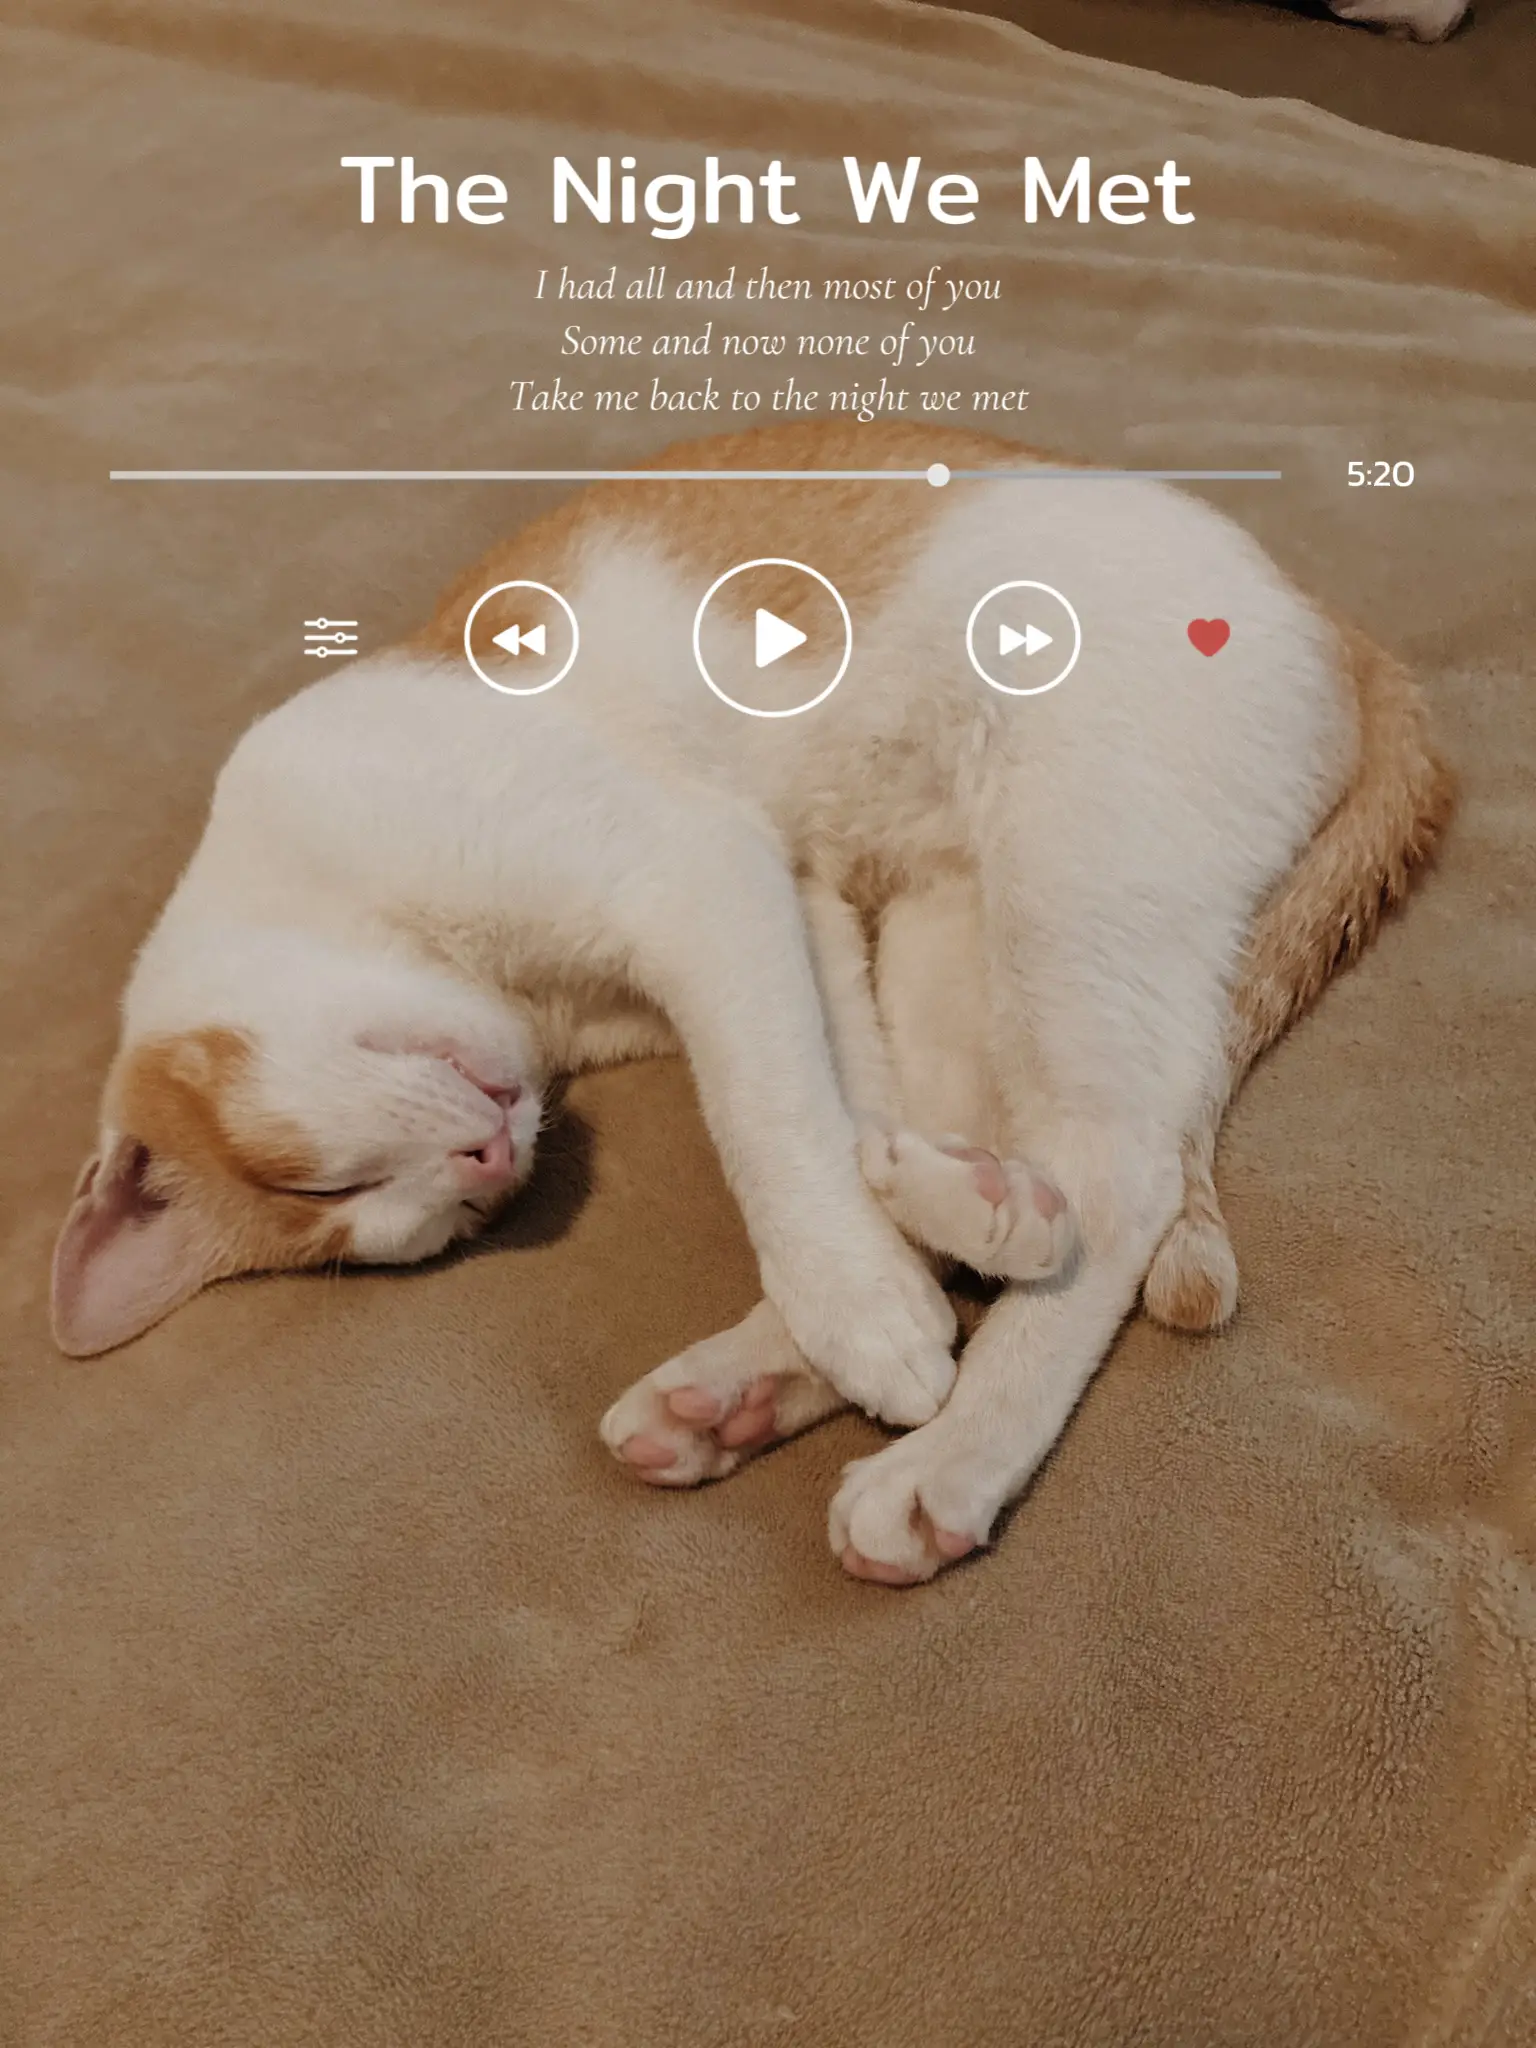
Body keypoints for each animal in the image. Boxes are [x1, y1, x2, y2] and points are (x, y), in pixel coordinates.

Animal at [51, 422, 1452, 1584]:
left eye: (324, 1181)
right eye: (440, 1221)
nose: (491, 1157)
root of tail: (1335, 623)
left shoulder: (697, 872)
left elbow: (761, 1117)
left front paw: (860, 1311)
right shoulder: (797, 909)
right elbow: (826, 1104)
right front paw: (875, 1280)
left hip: (1075, 869)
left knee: (1120, 1173)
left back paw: (938, 1462)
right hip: (952, 932)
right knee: (987, 1148)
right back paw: (793, 1344)